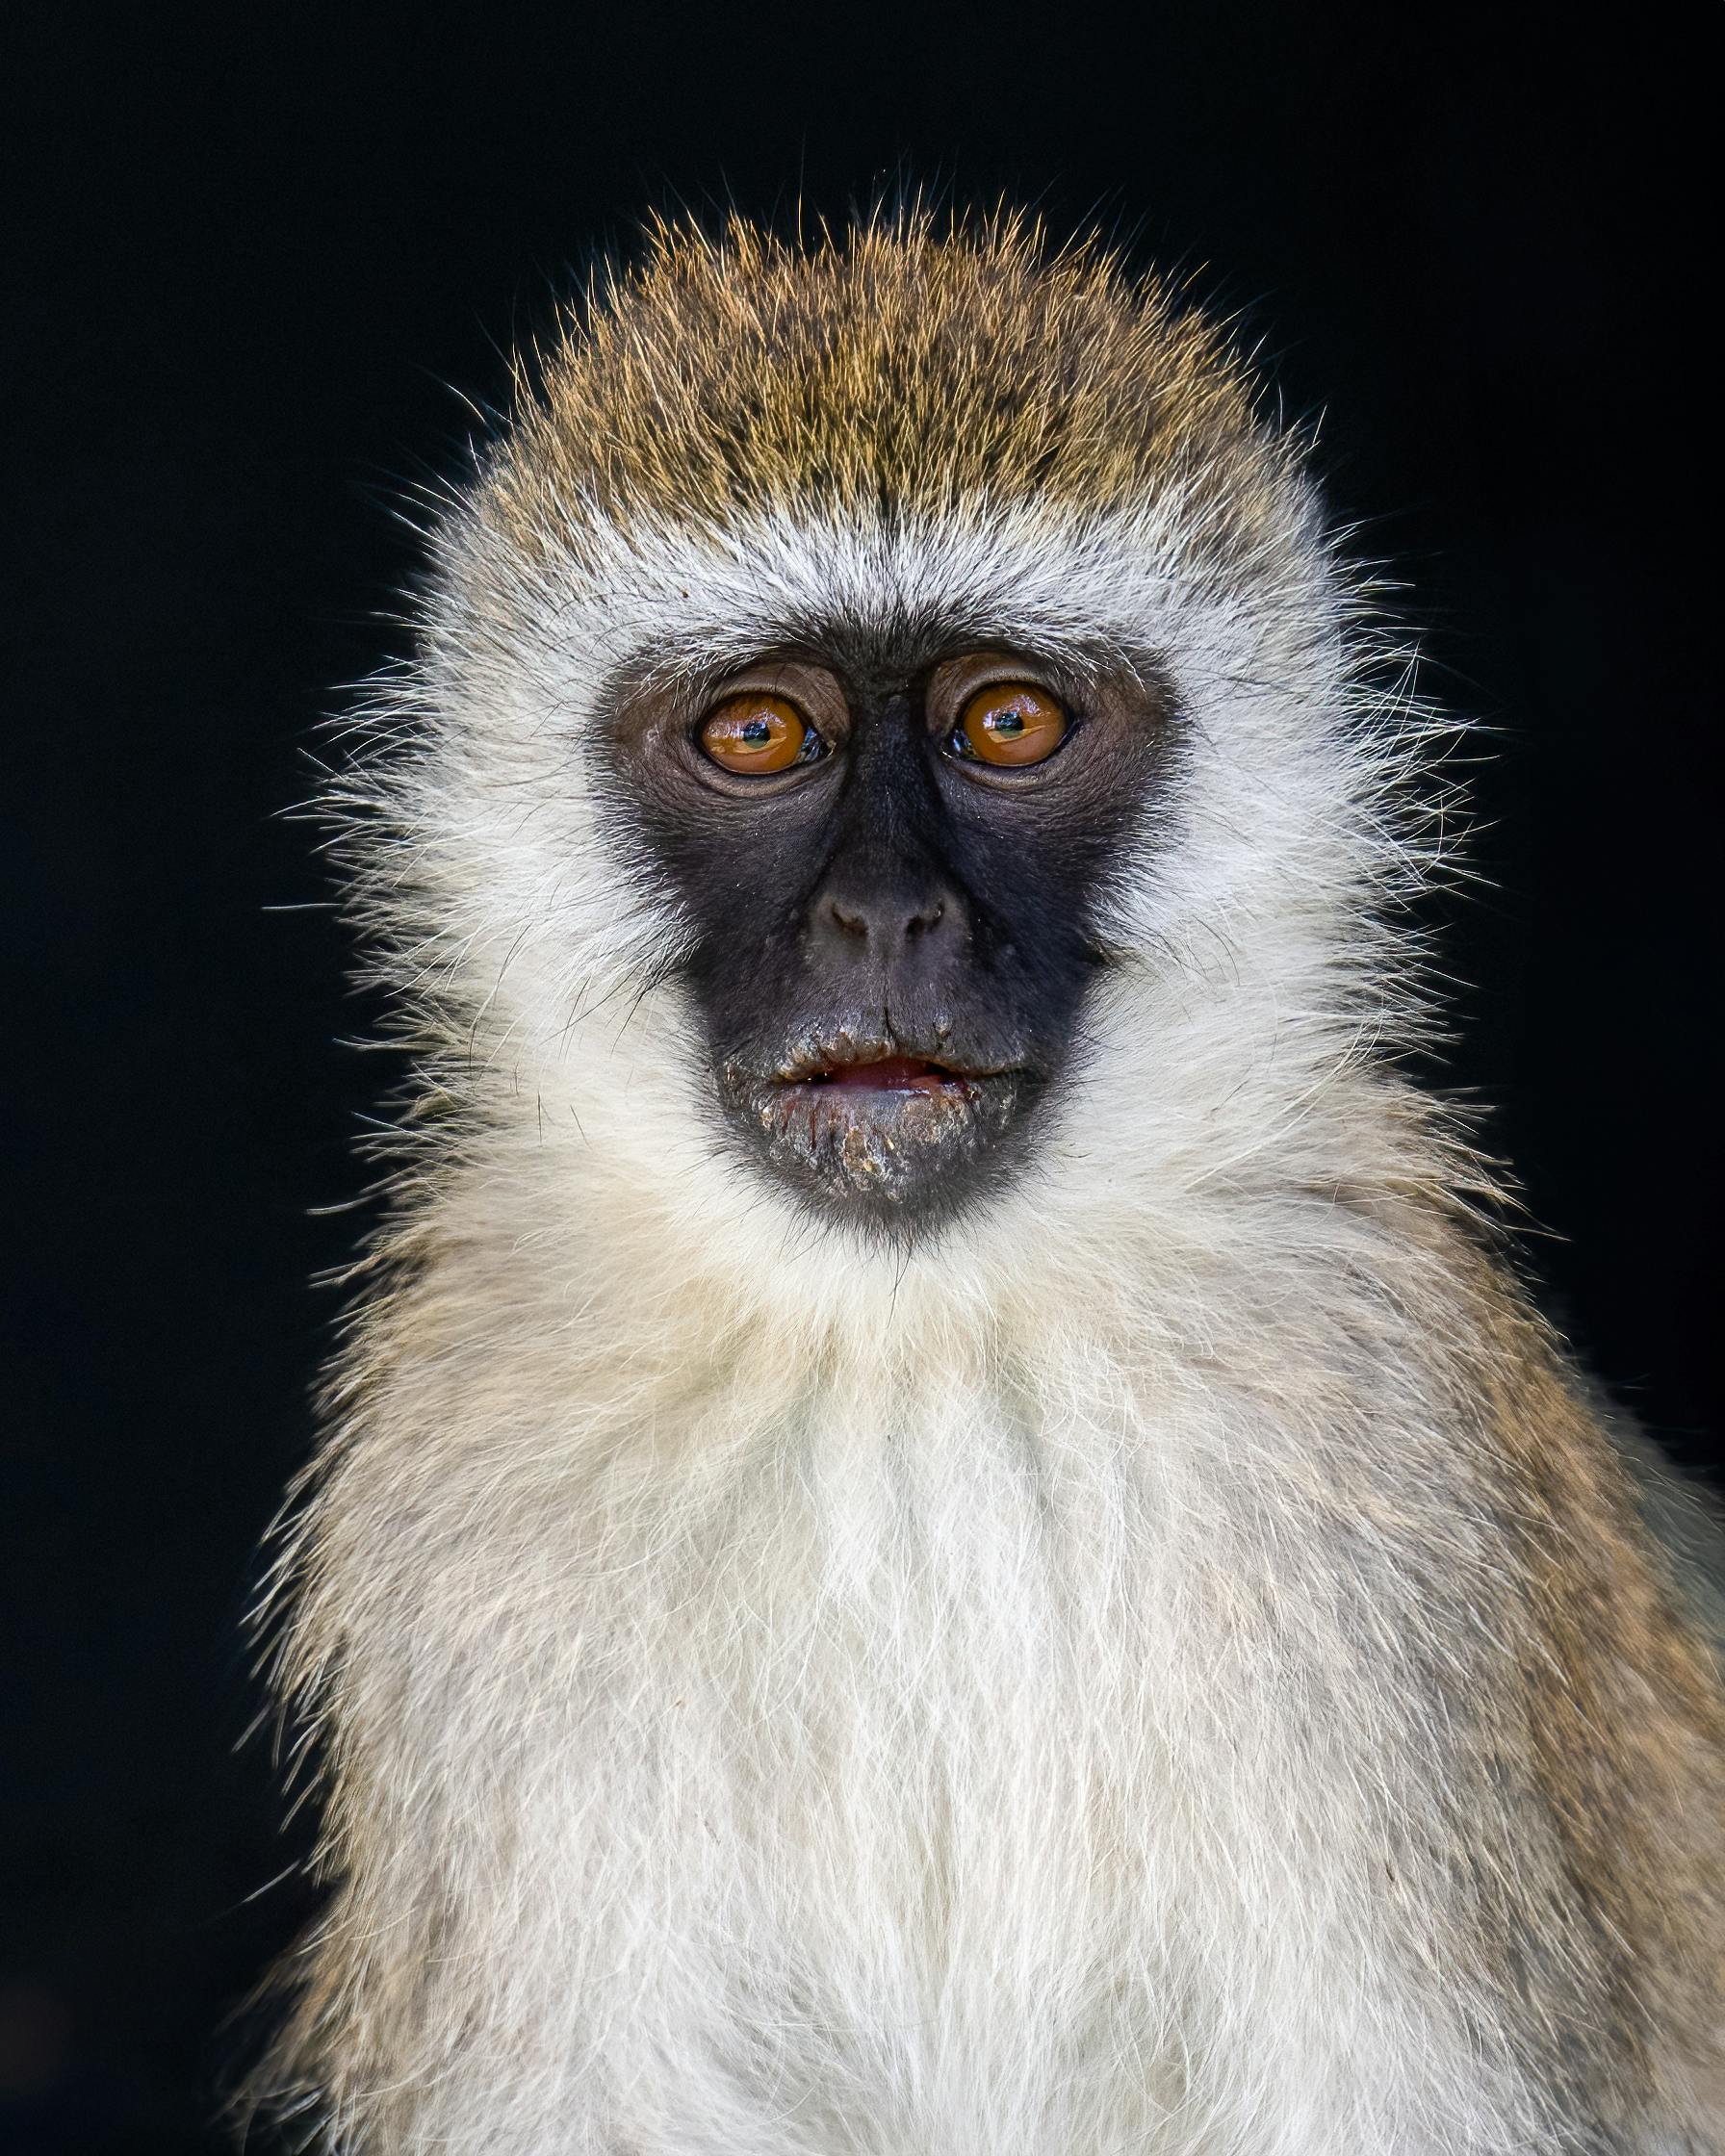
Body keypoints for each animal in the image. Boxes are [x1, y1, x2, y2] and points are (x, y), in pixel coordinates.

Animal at [252, 214, 1725, 2154]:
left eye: (1008, 723)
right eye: (758, 737)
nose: (886, 921)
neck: (910, 1347)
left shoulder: (1404, 1478)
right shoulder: (451, 1499)